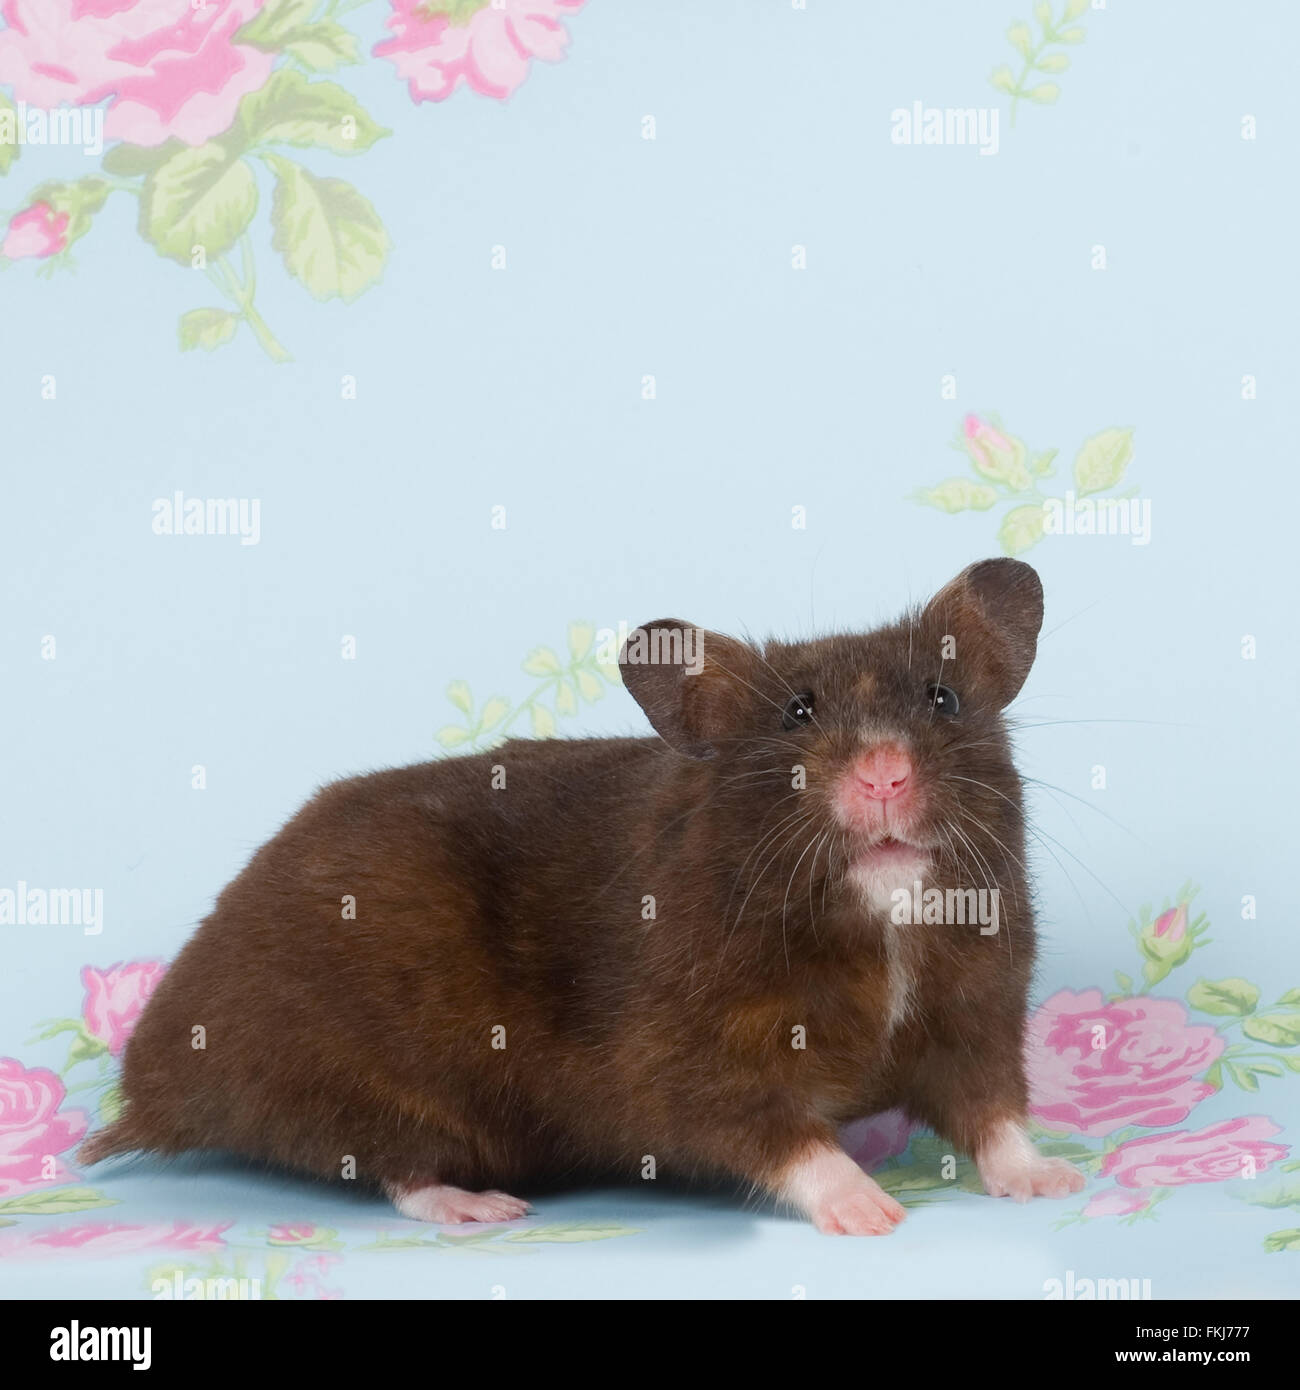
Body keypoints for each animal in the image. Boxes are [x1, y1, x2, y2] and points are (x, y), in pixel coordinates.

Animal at [80, 558, 1084, 1235]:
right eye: (795, 712)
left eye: (943, 697)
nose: (882, 776)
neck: (882, 923)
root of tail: (151, 1081)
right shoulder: (693, 1057)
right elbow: (781, 1138)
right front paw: (874, 1212)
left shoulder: (976, 1010)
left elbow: (994, 1109)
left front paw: (1057, 1181)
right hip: (351, 1070)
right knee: (391, 1163)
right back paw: (481, 1206)